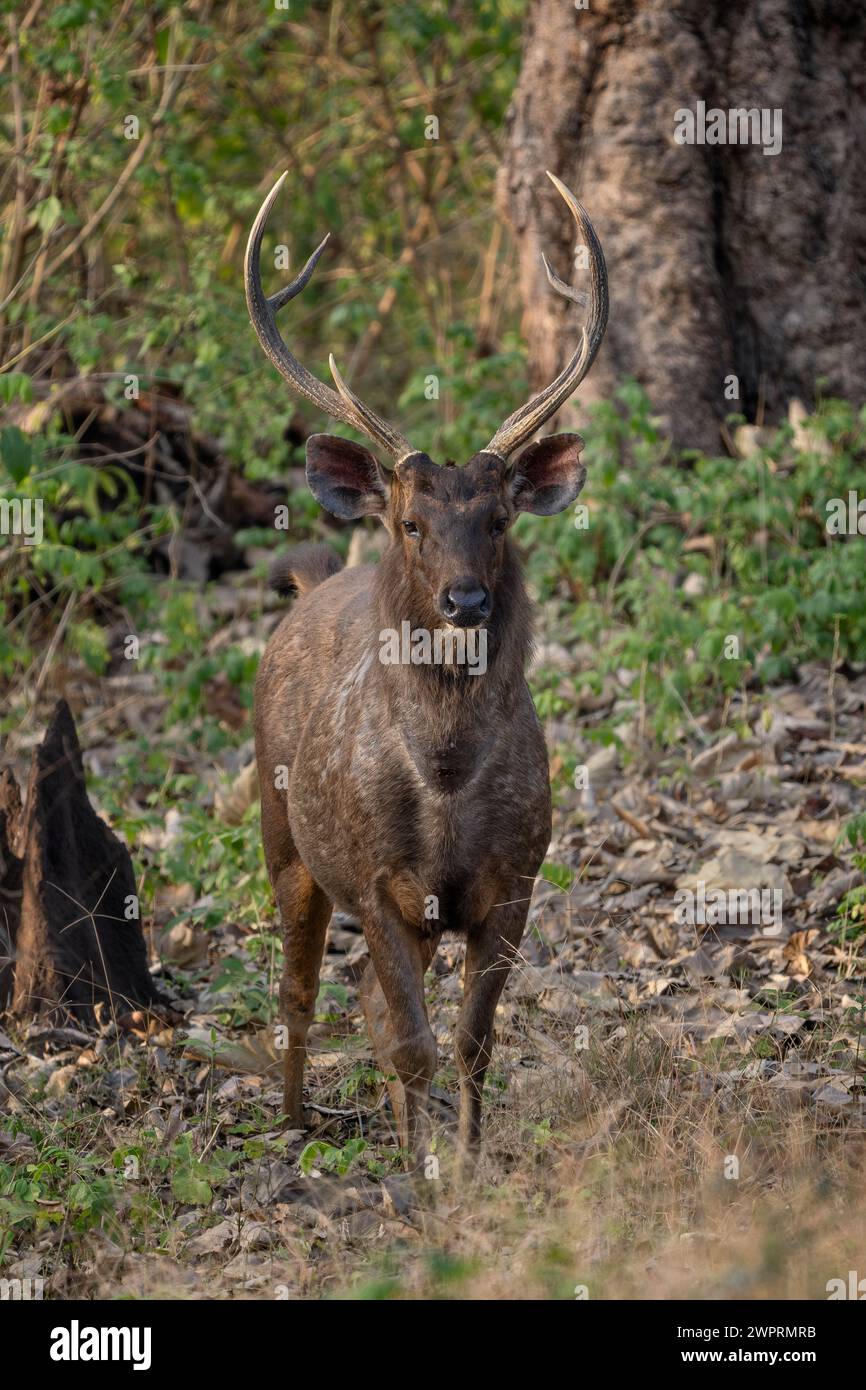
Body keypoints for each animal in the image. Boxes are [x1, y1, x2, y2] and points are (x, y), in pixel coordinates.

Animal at [246, 169, 608, 1174]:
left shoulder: (516, 875)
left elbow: (473, 1039)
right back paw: (294, 1122)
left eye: (500, 518)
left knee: (363, 1001)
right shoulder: (373, 882)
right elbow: (410, 1041)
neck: (444, 777)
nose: (466, 599)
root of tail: (309, 586)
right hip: (281, 832)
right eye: (411, 522)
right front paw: (425, 1180)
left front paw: (470, 1165)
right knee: (299, 990)